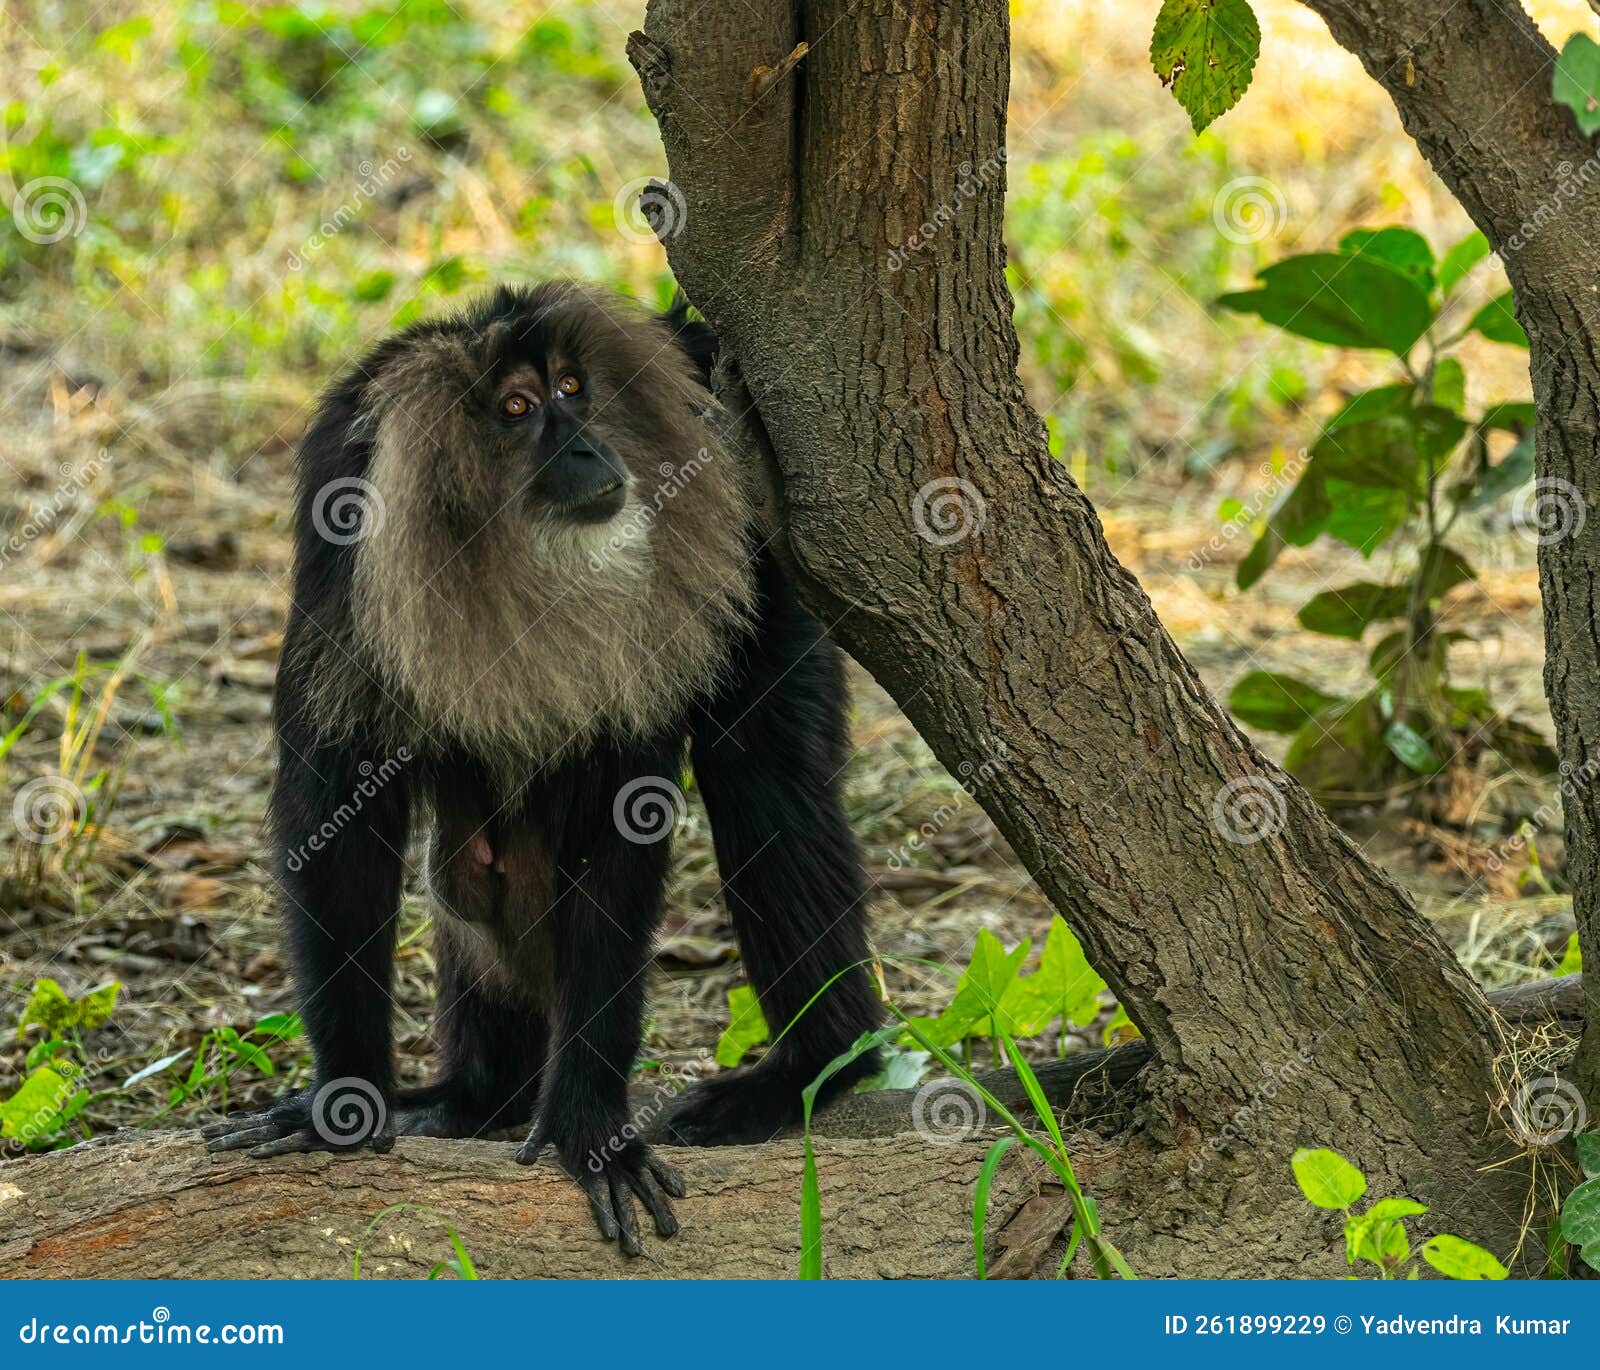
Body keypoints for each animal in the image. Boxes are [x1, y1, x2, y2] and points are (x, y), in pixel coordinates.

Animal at [203, 282, 883, 1256]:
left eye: (572, 389)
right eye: (520, 408)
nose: (591, 448)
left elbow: (628, 816)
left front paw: (588, 1126)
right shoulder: (345, 519)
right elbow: (333, 814)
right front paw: (344, 1103)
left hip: (765, 576)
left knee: (762, 777)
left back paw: (815, 1062)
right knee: (474, 872)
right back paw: (473, 1097)